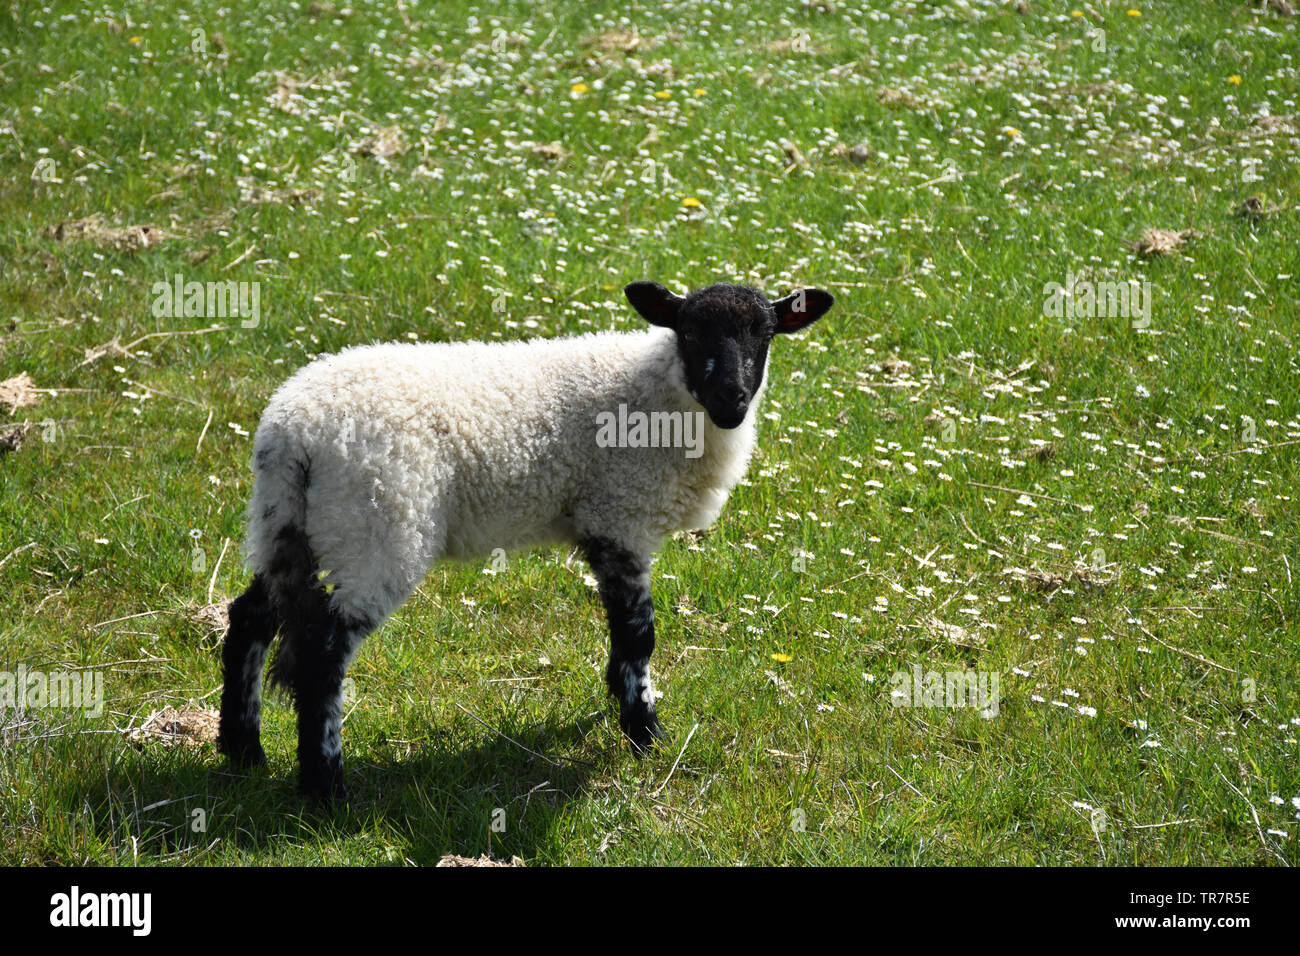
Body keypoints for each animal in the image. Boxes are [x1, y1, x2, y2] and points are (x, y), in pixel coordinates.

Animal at [217, 280, 835, 801]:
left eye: (765, 334)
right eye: (690, 332)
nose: (732, 399)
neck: (664, 396)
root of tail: (293, 431)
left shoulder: (601, 524)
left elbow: (621, 633)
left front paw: (619, 705)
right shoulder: (620, 516)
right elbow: (639, 634)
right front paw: (644, 732)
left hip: (285, 525)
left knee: (250, 619)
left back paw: (243, 750)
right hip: (376, 527)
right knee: (323, 653)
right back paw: (327, 787)